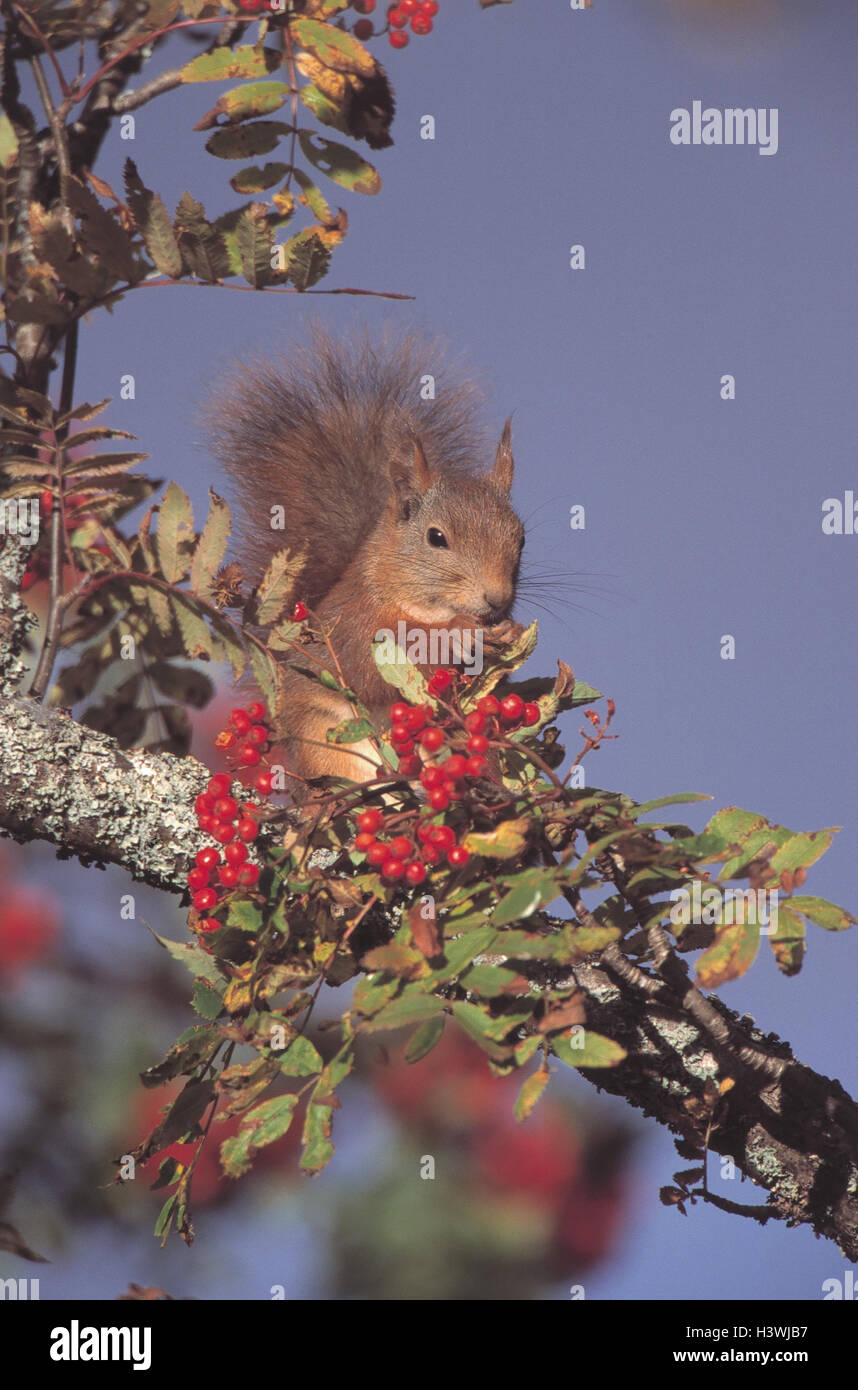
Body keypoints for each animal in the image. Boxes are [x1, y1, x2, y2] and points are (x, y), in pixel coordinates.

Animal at [208, 329, 525, 785]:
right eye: (436, 538)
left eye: (521, 539)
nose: (498, 600)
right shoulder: (352, 627)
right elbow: (374, 667)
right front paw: (461, 630)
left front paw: (509, 631)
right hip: (326, 748)